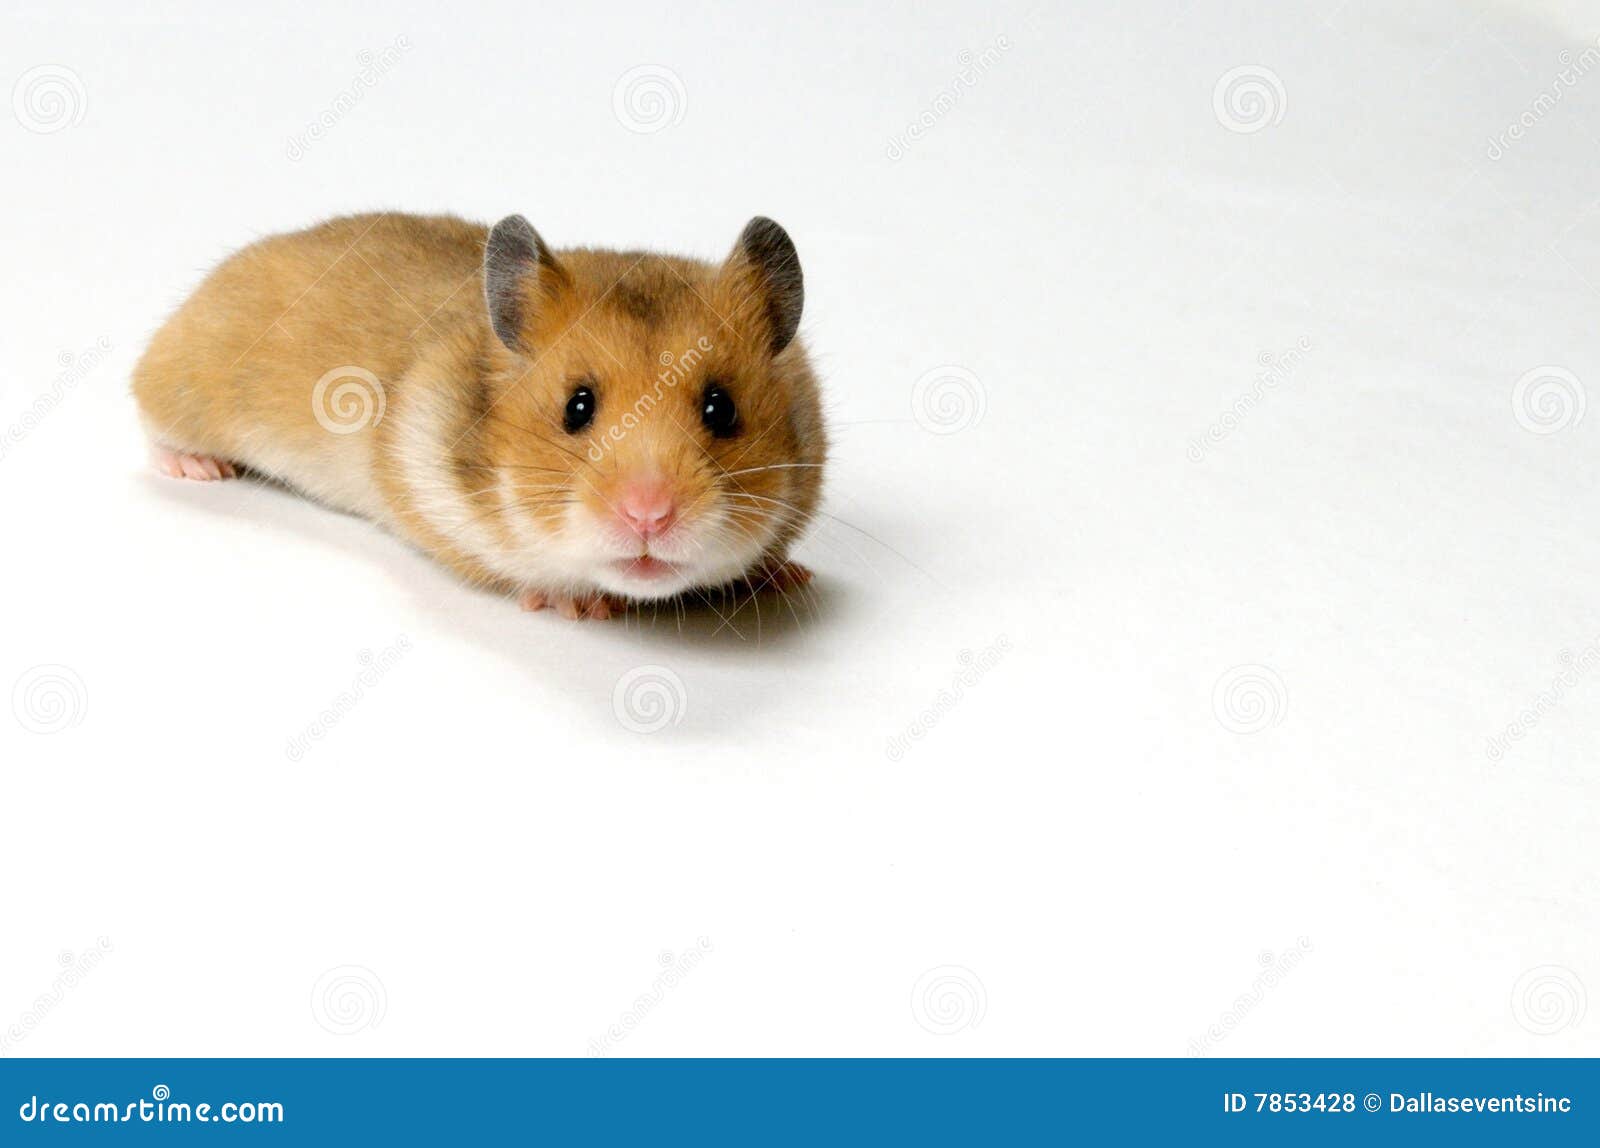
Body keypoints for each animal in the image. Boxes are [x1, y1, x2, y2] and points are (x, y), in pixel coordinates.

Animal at [132, 212, 826, 619]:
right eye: (577, 407)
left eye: (721, 407)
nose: (648, 516)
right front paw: (577, 606)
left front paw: (788, 576)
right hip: (184, 390)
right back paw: (198, 468)